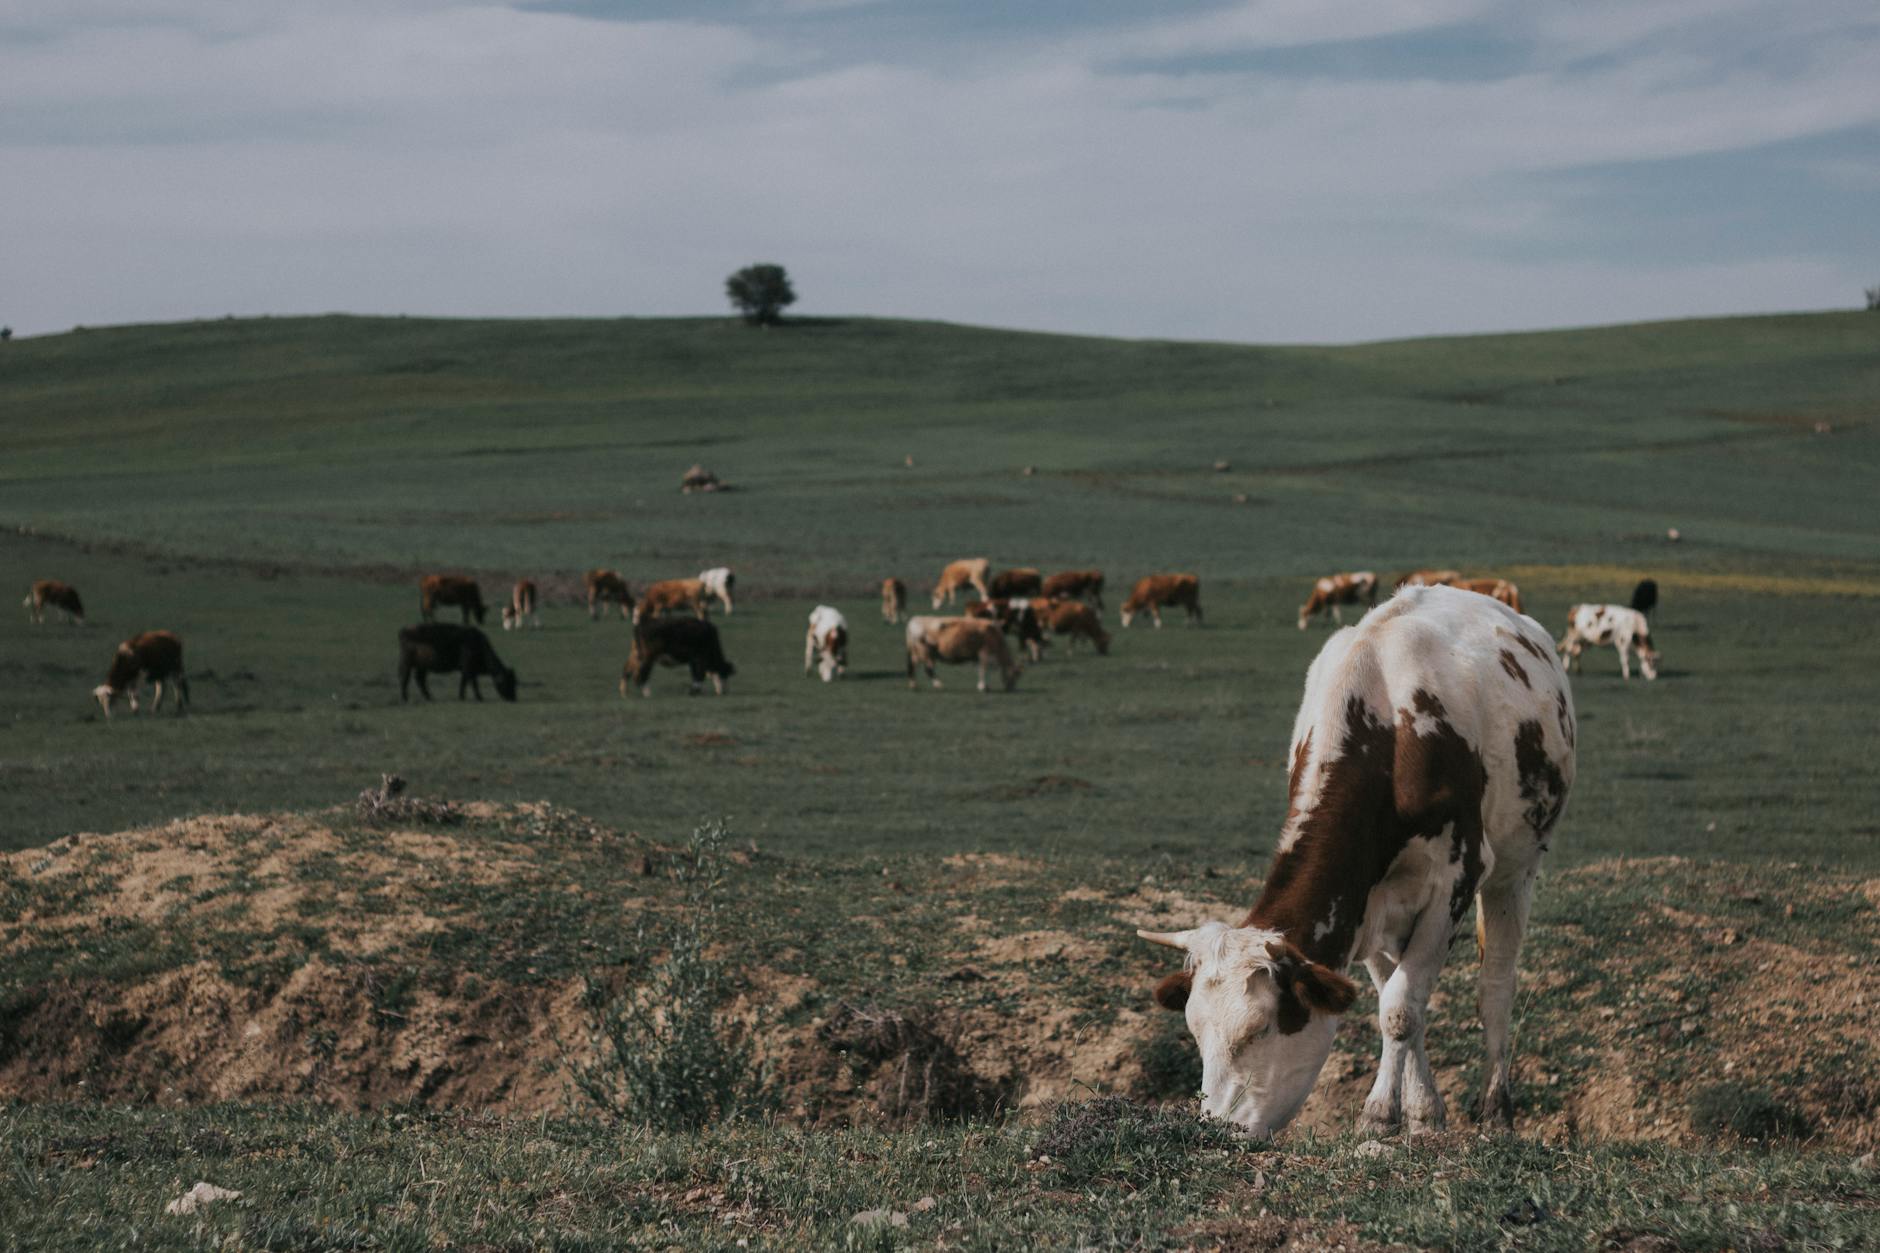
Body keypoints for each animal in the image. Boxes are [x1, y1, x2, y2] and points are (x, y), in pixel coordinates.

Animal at [1138, 585, 1575, 1139]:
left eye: (1261, 1028)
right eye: (1195, 1030)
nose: (1216, 1129)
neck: (1388, 727)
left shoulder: (1457, 877)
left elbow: (1400, 1010)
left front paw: (1378, 1116)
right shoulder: (1361, 903)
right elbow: (1399, 998)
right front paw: (1421, 1113)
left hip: (1517, 868)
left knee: (1496, 984)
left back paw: (1497, 1109)